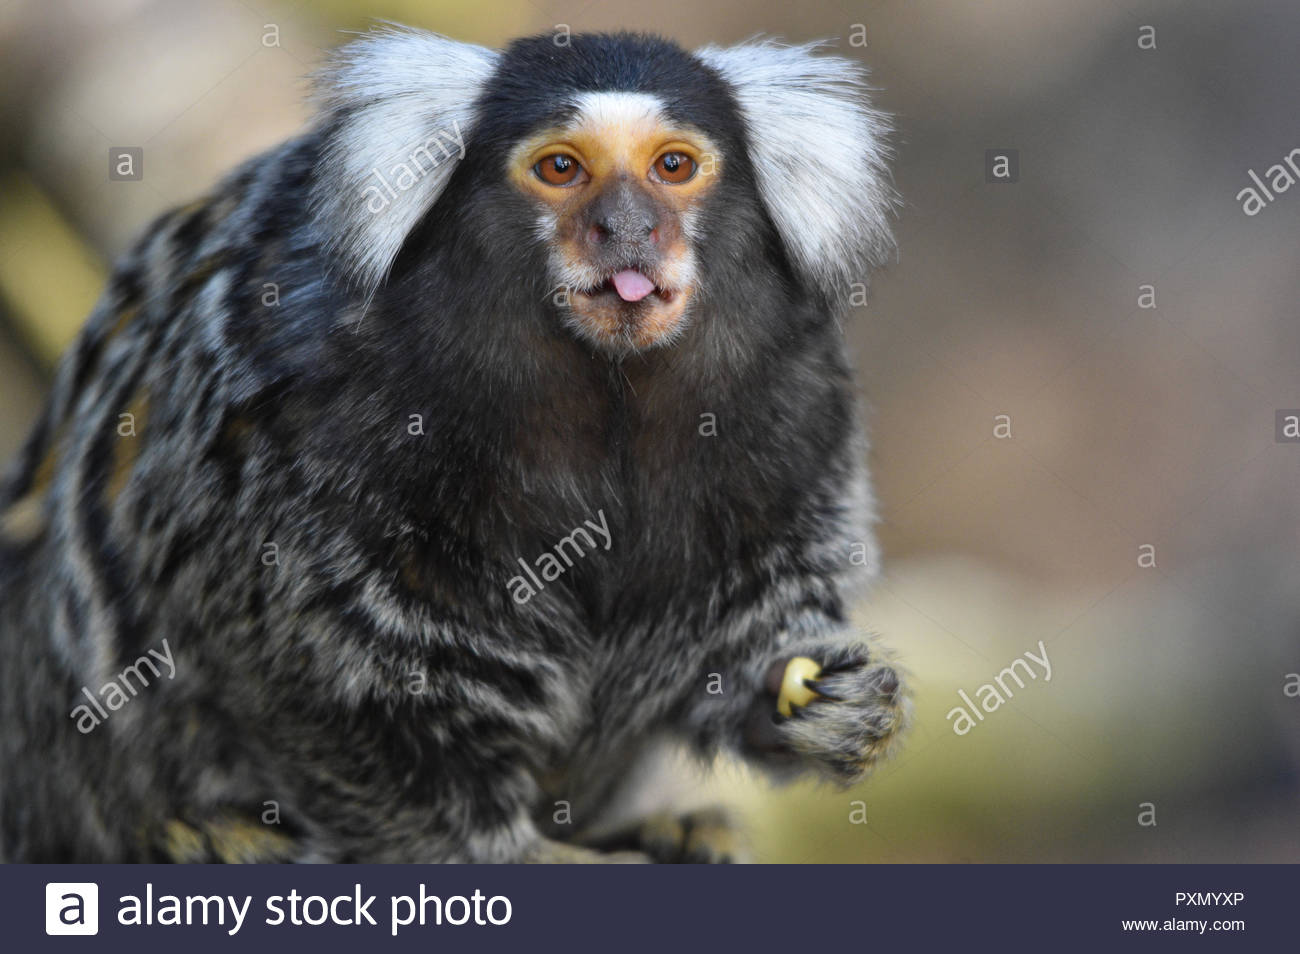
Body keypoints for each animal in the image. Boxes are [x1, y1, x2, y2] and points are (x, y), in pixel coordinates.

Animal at [0, 27, 907, 863]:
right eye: (561, 169)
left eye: (674, 166)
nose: (627, 228)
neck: (601, 388)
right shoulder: (289, 401)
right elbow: (315, 673)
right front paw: (486, 848)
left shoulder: (803, 397)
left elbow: (738, 626)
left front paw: (816, 707)